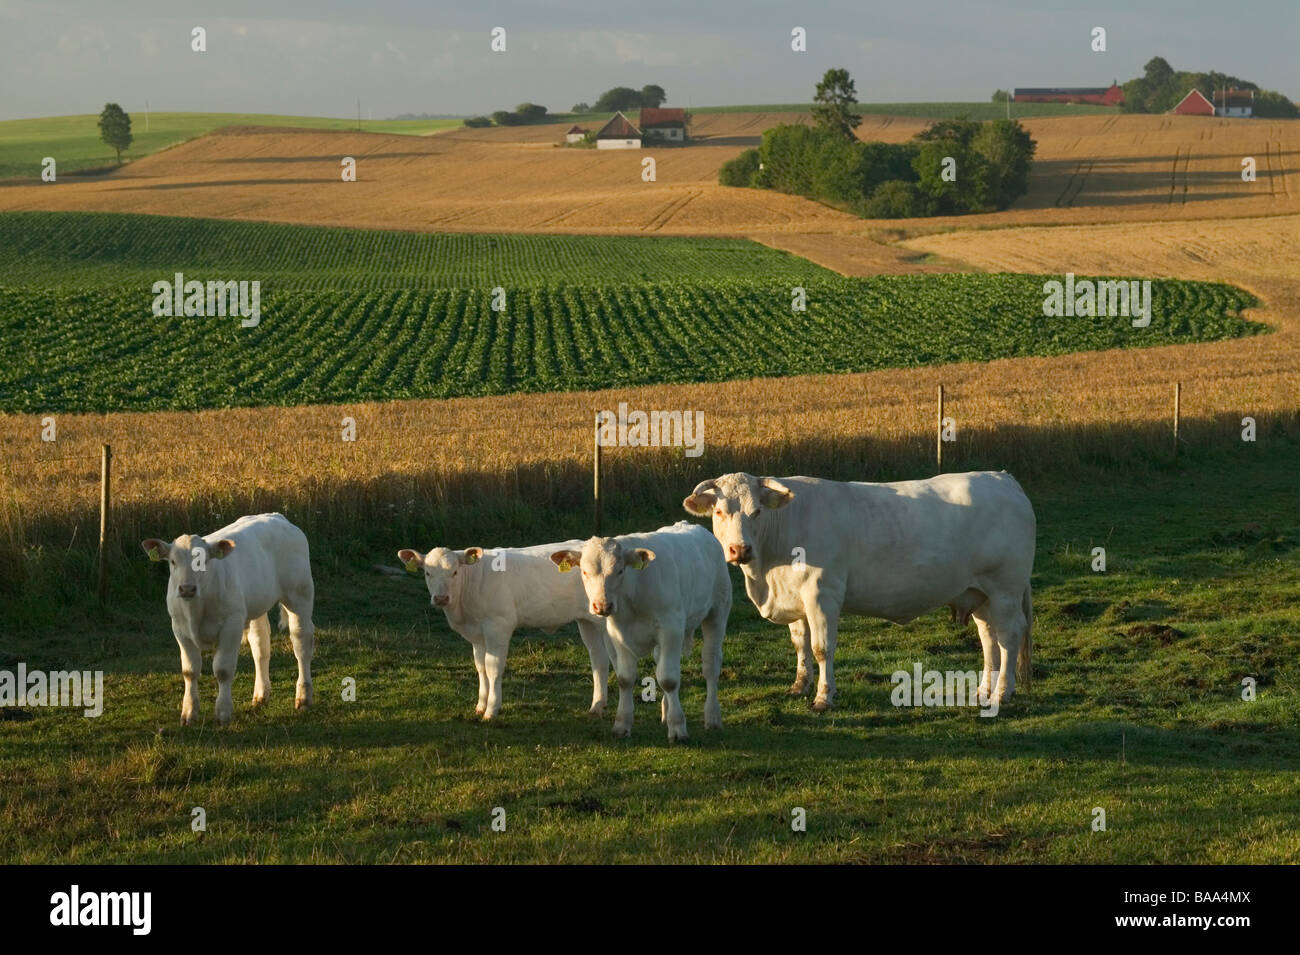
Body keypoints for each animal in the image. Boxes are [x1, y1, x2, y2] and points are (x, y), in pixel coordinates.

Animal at [141, 512, 315, 726]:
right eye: (173, 562)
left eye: (204, 561)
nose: (187, 589)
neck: (196, 609)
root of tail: (276, 516)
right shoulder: (179, 628)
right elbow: (190, 671)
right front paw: (189, 713)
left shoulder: (232, 625)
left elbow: (223, 670)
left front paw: (223, 713)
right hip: (256, 604)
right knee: (261, 646)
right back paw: (261, 695)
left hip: (299, 595)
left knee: (301, 644)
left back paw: (303, 698)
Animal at [396, 541, 617, 721]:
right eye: (427, 573)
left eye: (455, 572)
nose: (441, 598)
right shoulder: (477, 635)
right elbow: (480, 666)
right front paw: (480, 705)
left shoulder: (498, 626)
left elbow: (492, 667)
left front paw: (491, 710)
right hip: (586, 621)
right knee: (599, 659)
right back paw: (597, 706)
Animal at [549, 522, 731, 741]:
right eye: (584, 572)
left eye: (620, 571)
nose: (602, 606)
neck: (633, 592)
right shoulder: (617, 633)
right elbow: (625, 678)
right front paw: (622, 724)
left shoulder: (671, 628)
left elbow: (669, 680)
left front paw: (678, 727)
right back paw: (666, 712)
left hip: (718, 611)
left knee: (711, 664)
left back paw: (712, 717)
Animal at [683, 472, 1035, 710]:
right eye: (719, 512)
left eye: (756, 511)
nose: (739, 549)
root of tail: (1002, 478)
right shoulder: (795, 598)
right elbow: (800, 644)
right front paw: (799, 685)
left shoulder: (822, 593)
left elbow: (821, 648)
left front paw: (823, 697)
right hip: (979, 593)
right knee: (989, 638)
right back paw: (983, 691)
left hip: (1005, 589)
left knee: (1009, 637)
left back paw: (1002, 692)